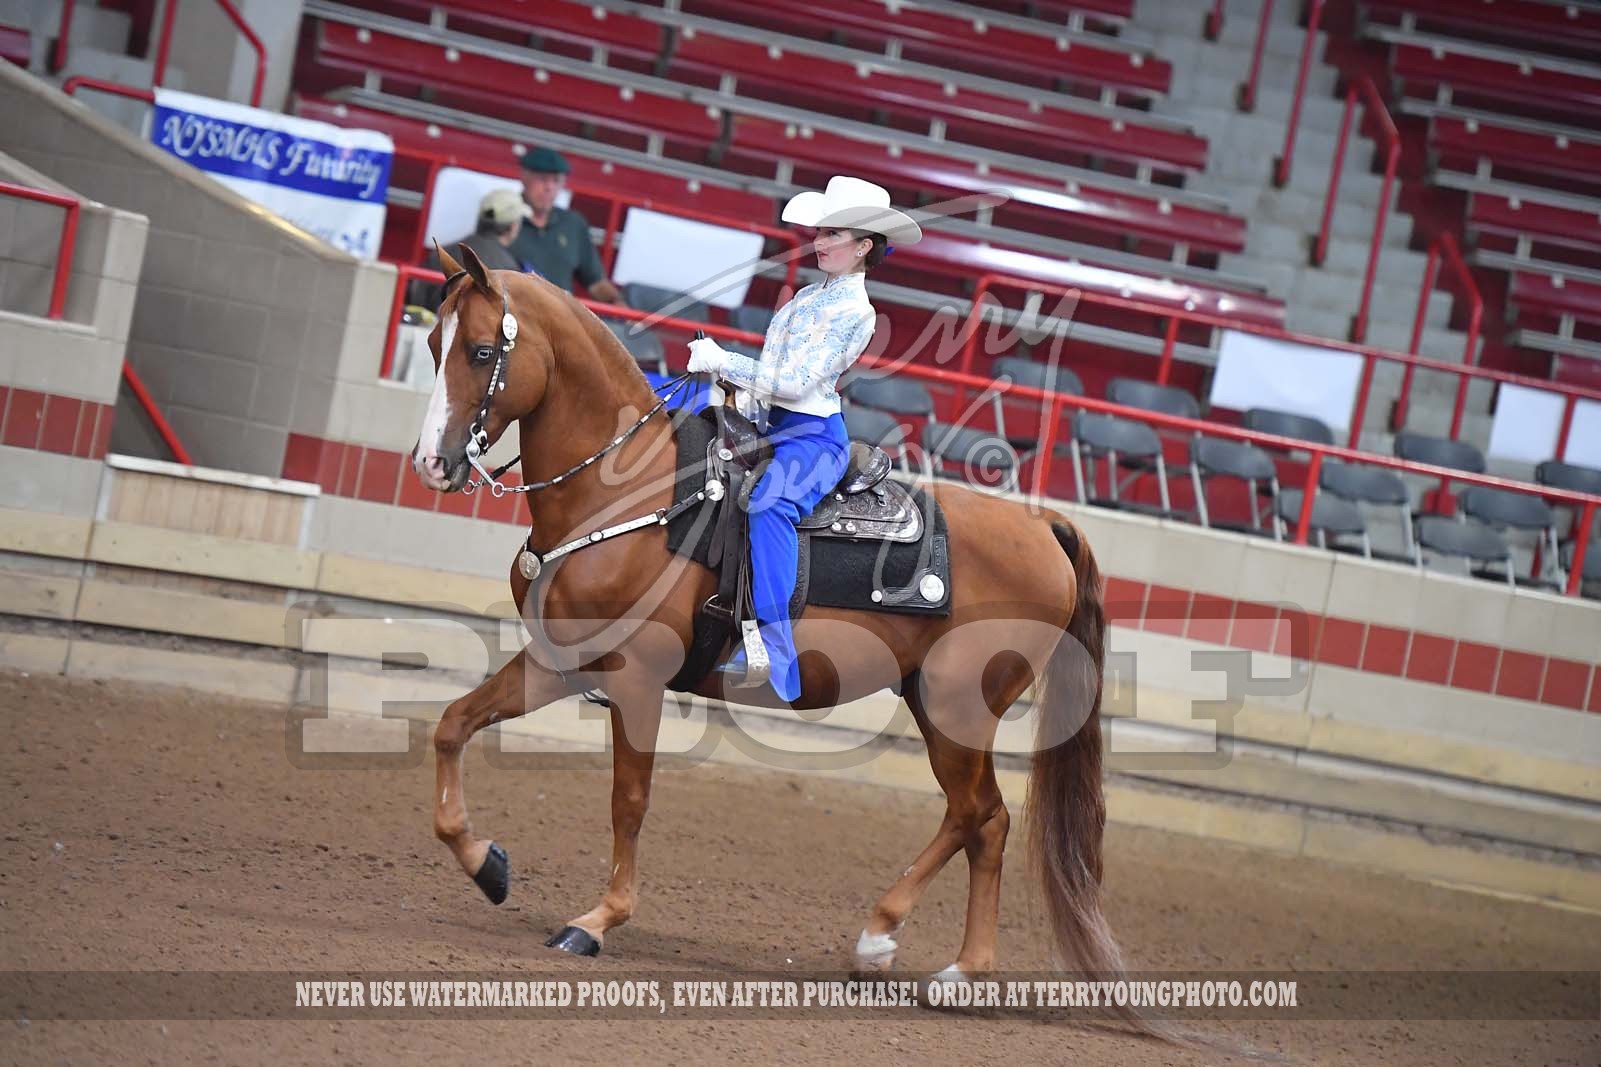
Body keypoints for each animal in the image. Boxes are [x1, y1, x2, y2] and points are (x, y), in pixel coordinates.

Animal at [413, 242, 1123, 989]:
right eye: (433, 344)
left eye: (482, 351)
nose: (432, 463)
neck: (631, 492)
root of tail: (1042, 525)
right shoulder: (561, 660)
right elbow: (452, 725)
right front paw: (486, 865)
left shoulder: (637, 678)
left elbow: (628, 800)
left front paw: (598, 920)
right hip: (934, 703)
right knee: (982, 820)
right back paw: (936, 957)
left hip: (959, 708)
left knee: (979, 813)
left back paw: (915, 947)